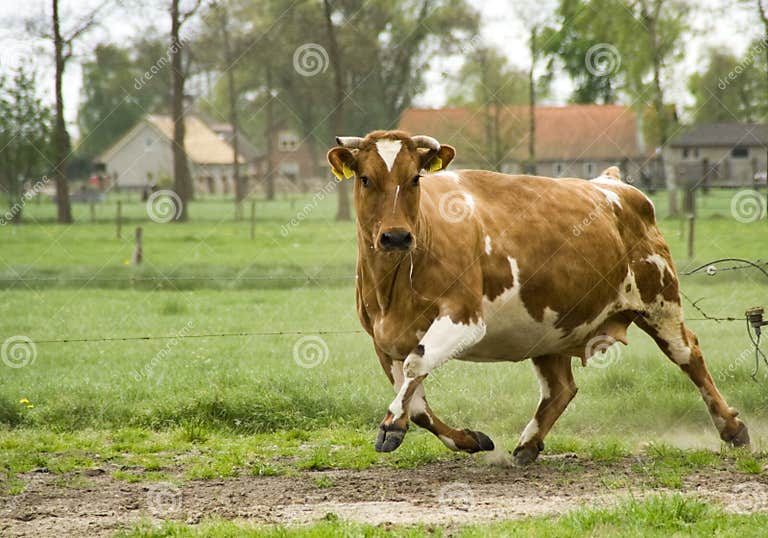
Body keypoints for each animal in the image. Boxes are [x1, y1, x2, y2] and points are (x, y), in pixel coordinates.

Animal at [326, 130, 750, 465]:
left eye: (414, 178)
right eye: (365, 178)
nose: (396, 237)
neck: (396, 280)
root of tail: (614, 184)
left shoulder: (463, 319)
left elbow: (417, 366)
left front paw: (389, 425)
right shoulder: (384, 342)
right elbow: (417, 406)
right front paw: (466, 438)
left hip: (660, 302)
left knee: (690, 355)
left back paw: (732, 428)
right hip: (549, 329)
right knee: (561, 389)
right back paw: (529, 443)